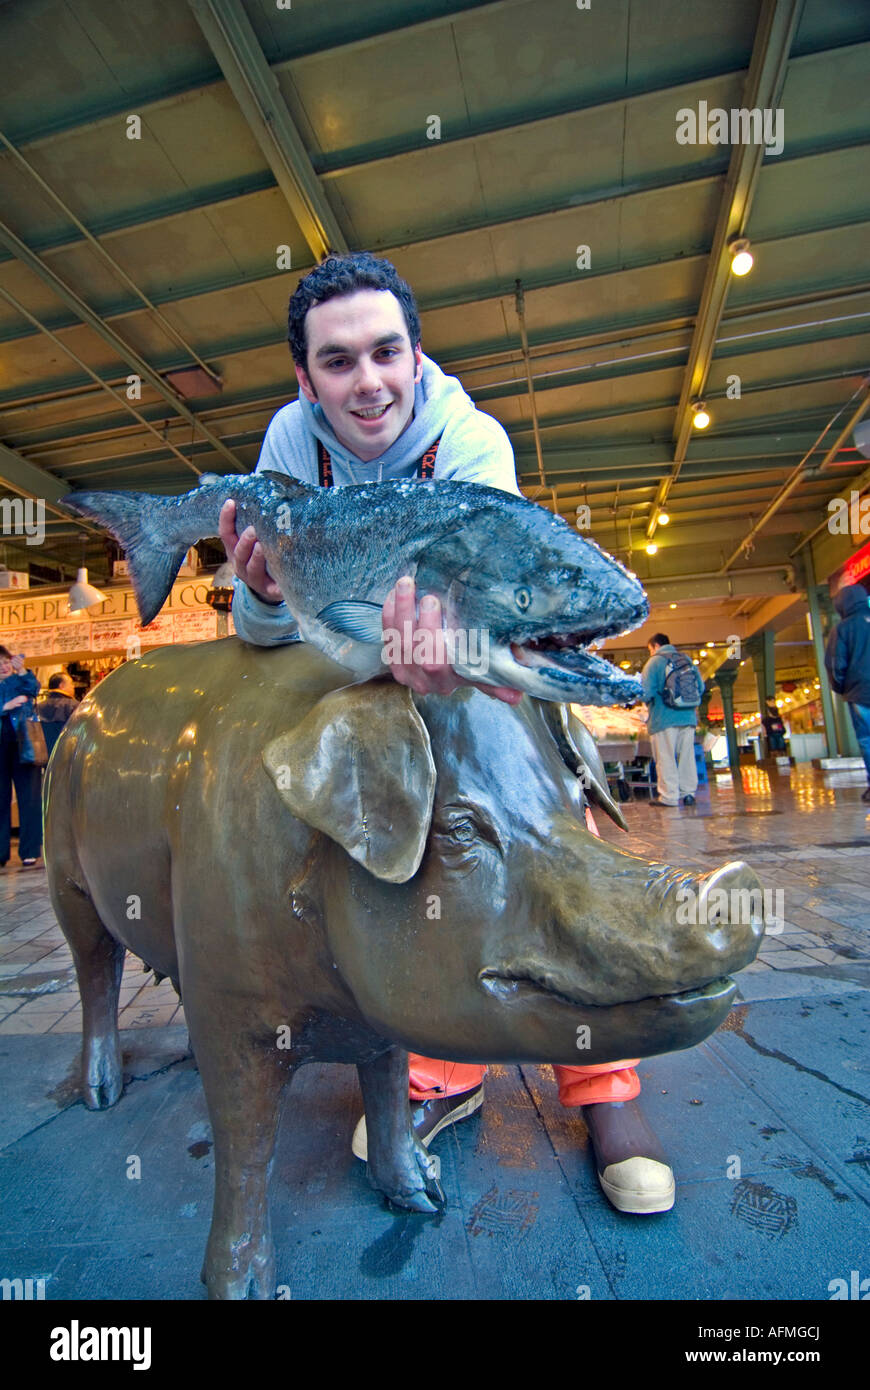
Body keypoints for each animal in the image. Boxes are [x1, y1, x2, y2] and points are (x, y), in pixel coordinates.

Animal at [43, 638, 763, 1299]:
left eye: (572, 800)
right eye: (461, 829)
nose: (729, 885)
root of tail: (84, 711)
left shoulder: (379, 1007)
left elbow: (388, 1085)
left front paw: (424, 1198)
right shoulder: (229, 1001)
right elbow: (247, 1142)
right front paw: (240, 1289)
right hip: (63, 874)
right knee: (95, 972)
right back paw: (100, 1095)